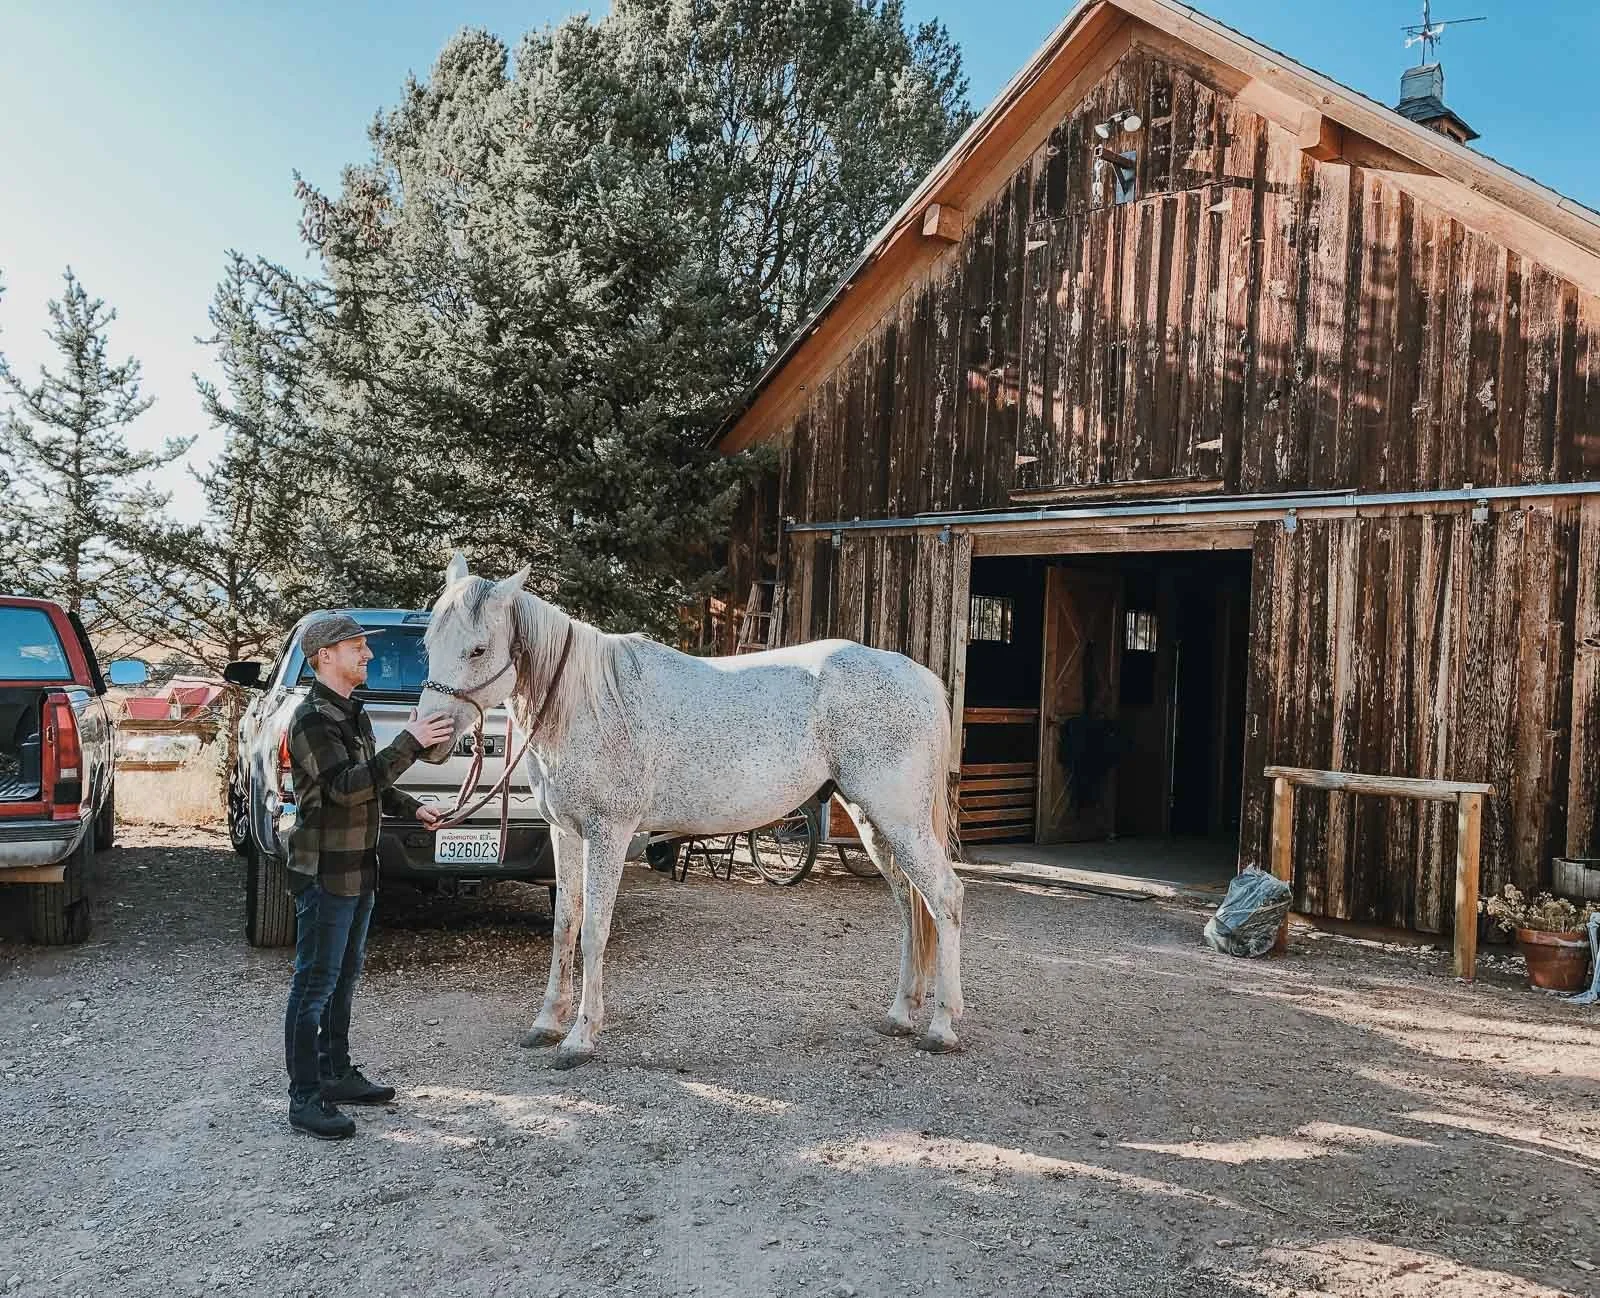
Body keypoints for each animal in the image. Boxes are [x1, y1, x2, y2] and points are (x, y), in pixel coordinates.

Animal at [416, 553, 965, 1068]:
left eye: (478, 649)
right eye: (427, 643)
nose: (433, 738)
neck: (587, 701)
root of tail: (919, 676)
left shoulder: (608, 834)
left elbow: (594, 931)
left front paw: (580, 1038)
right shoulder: (564, 833)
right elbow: (564, 926)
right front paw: (547, 1022)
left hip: (902, 823)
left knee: (945, 897)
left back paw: (942, 1026)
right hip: (876, 826)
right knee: (911, 906)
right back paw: (901, 1013)